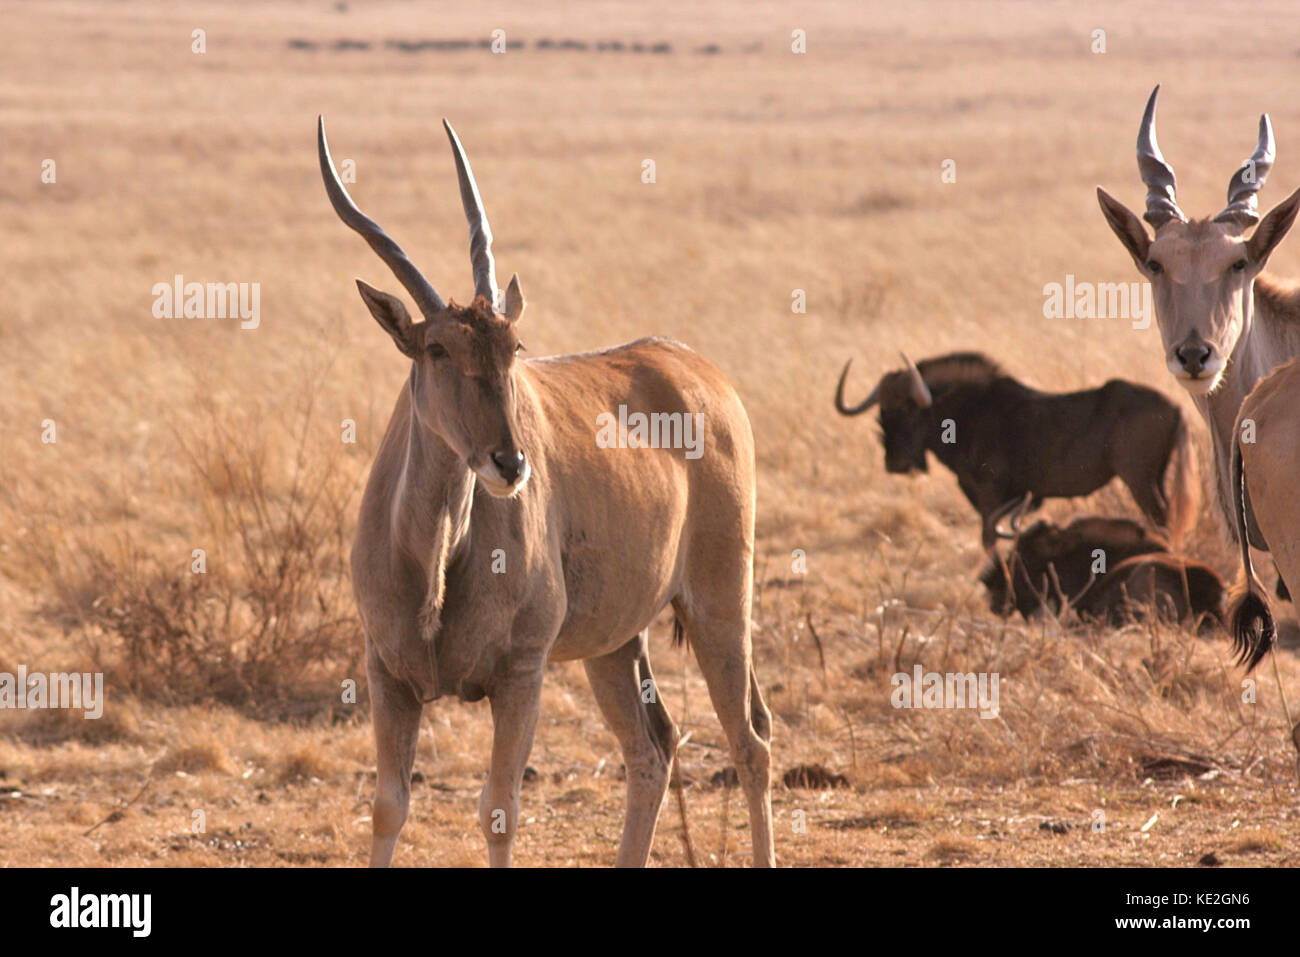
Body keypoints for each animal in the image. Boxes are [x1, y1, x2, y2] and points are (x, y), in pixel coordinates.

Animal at [318, 117, 774, 867]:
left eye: (513, 345)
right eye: (438, 348)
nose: (509, 462)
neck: (436, 560)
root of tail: (699, 370)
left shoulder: (520, 673)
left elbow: (500, 810)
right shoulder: (388, 675)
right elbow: (388, 806)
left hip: (718, 605)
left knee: (750, 742)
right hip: (614, 645)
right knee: (653, 749)